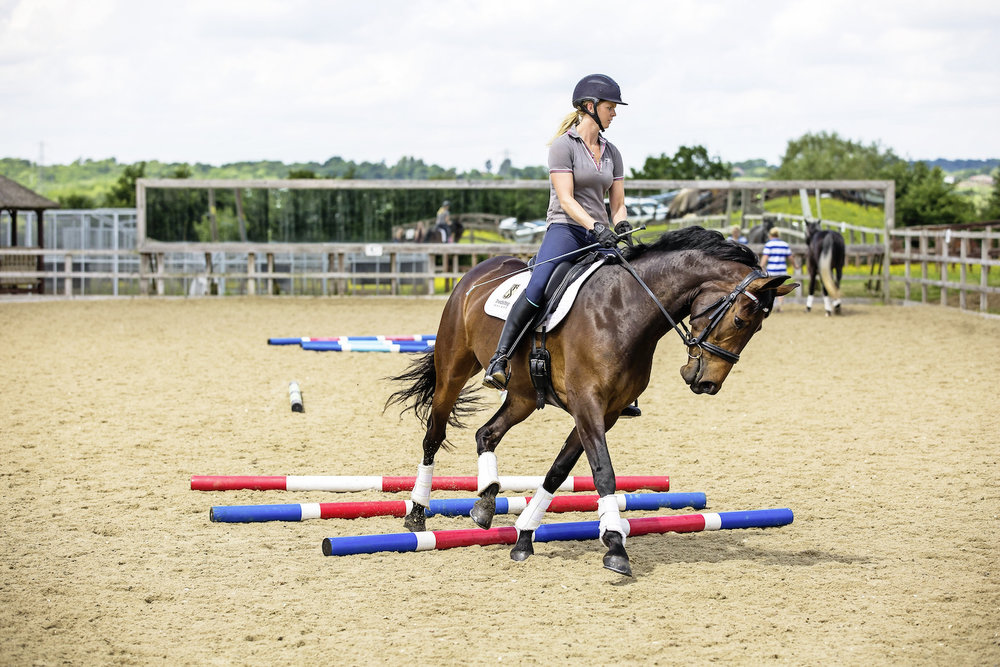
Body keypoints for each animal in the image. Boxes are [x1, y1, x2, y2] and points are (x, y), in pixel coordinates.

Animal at [385, 226, 798, 576]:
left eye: (757, 327)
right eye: (742, 320)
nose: (707, 382)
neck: (626, 311)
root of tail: (476, 272)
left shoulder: (607, 412)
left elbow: (558, 471)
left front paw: (524, 536)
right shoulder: (588, 405)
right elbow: (603, 472)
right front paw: (615, 545)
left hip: (522, 395)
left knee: (486, 434)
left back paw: (486, 502)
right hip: (454, 370)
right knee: (433, 436)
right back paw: (417, 513)